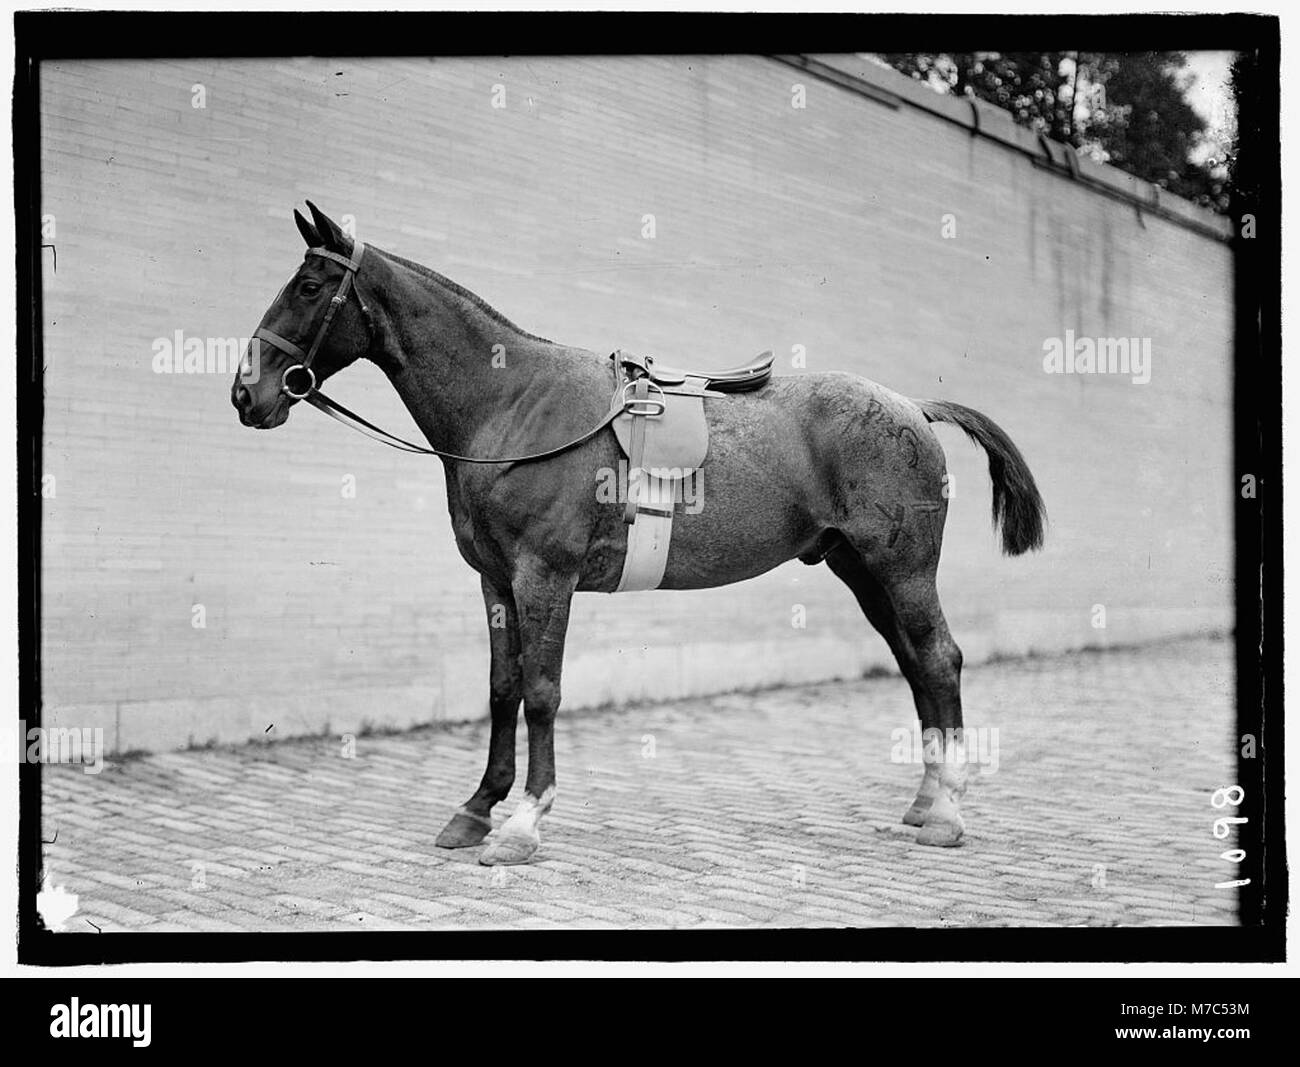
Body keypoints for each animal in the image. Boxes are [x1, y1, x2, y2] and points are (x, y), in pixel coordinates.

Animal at [232, 202, 1046, 865]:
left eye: (309, 288)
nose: (247, 393)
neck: (514, 403)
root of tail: (913, 406)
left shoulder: (545, 576)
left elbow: (541, 690)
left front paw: (523, 822)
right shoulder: (496, 579)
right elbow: (500, 688)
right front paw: (476, 809)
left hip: (902, 569)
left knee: (939, 659)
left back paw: (947, 813)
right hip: (862, 571)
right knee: (915, 665)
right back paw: (924, 800)